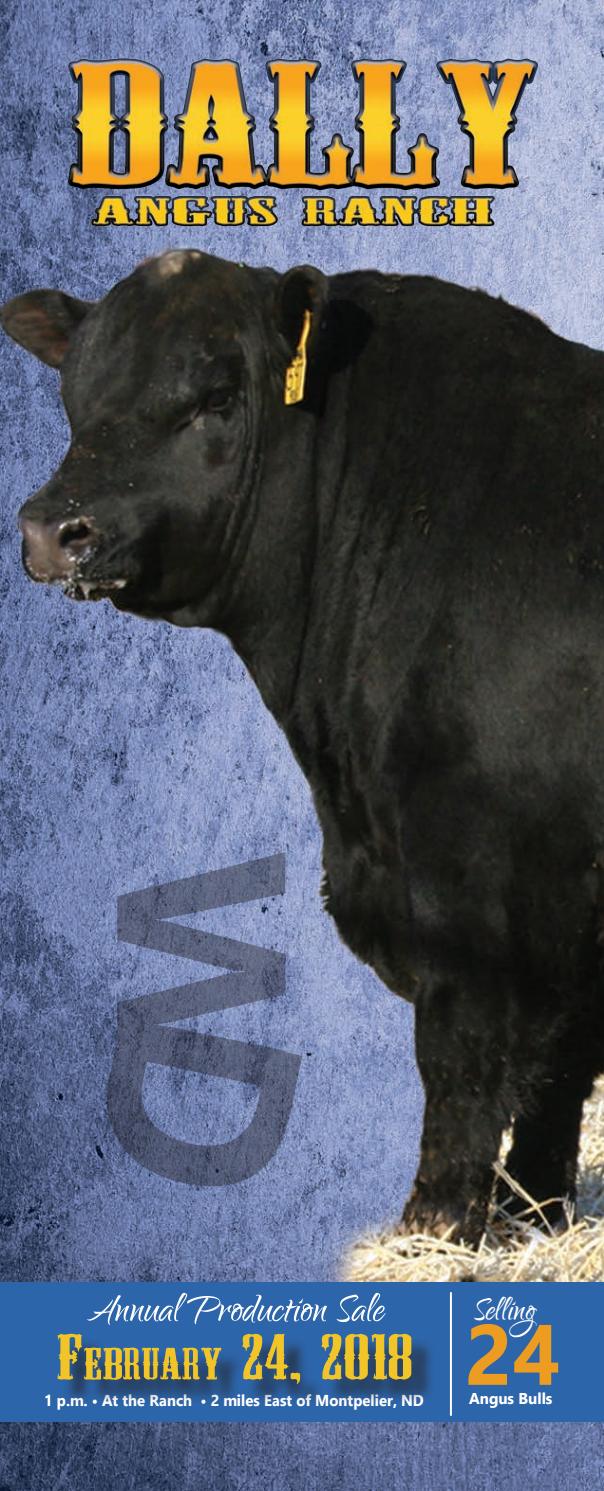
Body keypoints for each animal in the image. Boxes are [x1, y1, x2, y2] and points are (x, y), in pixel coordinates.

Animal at [2, 248, 603, 1245]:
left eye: (216, 396)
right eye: (75, 394)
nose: (56, 529)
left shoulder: (473, 887)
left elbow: (464, 1065)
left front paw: (434, 1227)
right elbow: (552, 1090)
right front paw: (538, 1223)